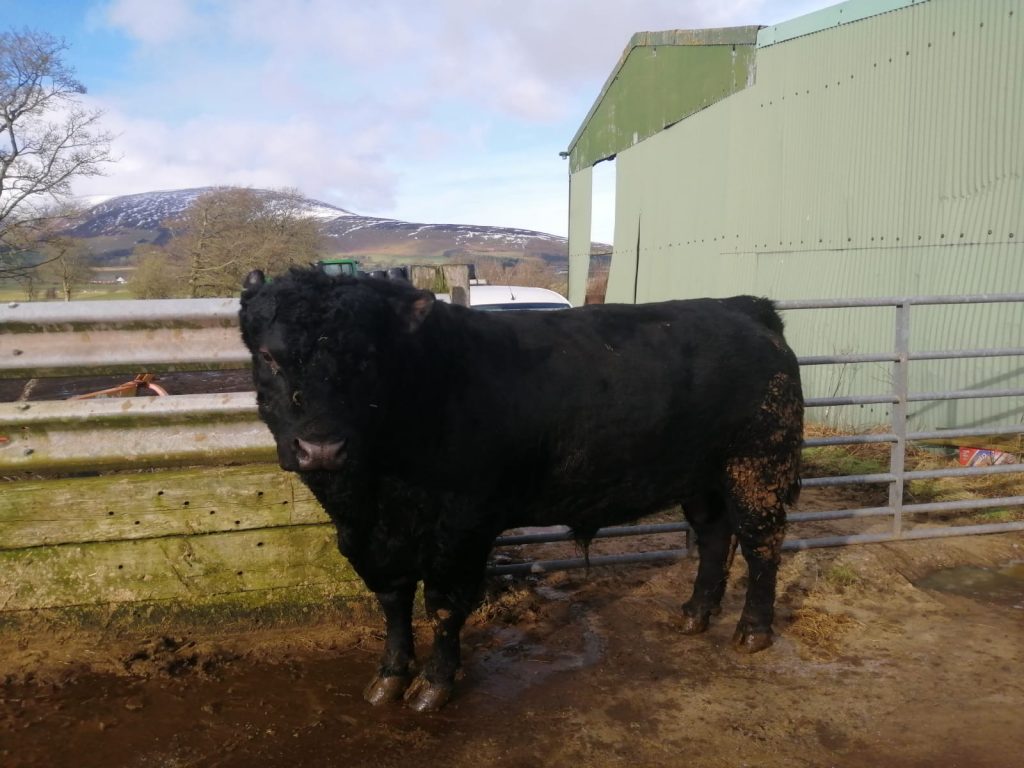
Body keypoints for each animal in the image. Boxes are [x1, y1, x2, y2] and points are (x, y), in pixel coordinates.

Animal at [238, 267, 804, 712]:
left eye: (368, 356)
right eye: (268, 356)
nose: (321, 447)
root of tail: (741, 307)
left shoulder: (460, 530)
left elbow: (443, 605)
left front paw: (434, 685)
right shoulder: (372, 539)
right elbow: (393, 602)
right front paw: (389, 676)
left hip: (759, 467)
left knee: (762, 545)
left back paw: (752, 631)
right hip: (704, 478)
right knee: (714, 538)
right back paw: (695, 614)